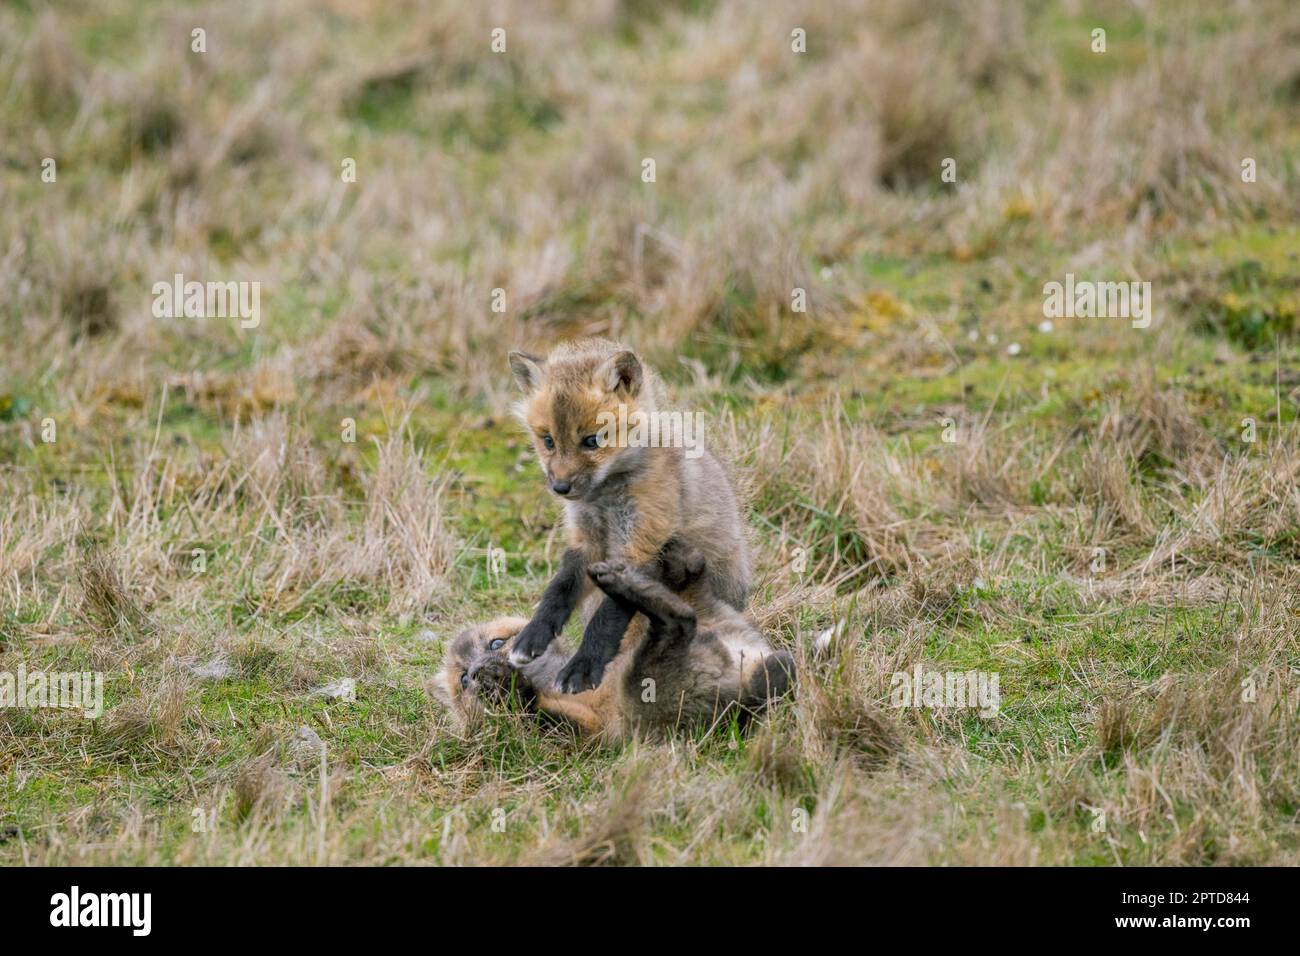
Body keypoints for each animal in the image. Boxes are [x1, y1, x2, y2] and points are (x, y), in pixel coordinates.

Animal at [432, 540, 794, 739]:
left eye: (495, 644)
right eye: (463, 680)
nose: (478, 671)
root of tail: (742, 689)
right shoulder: (586, 730)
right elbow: (532, 709)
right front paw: (507, 689)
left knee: (691, 579)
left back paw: (659, 564)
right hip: (644, 691)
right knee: (679, 623)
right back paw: (629, 585)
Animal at [505, 338, 752, 694]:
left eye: (592, 440)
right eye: (548, 440)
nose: (560, 487)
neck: (604, 500)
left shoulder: (640, 545)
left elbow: (607, 618)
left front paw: (582, 668)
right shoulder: (587, 544)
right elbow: (557, 592)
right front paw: (532, 636)